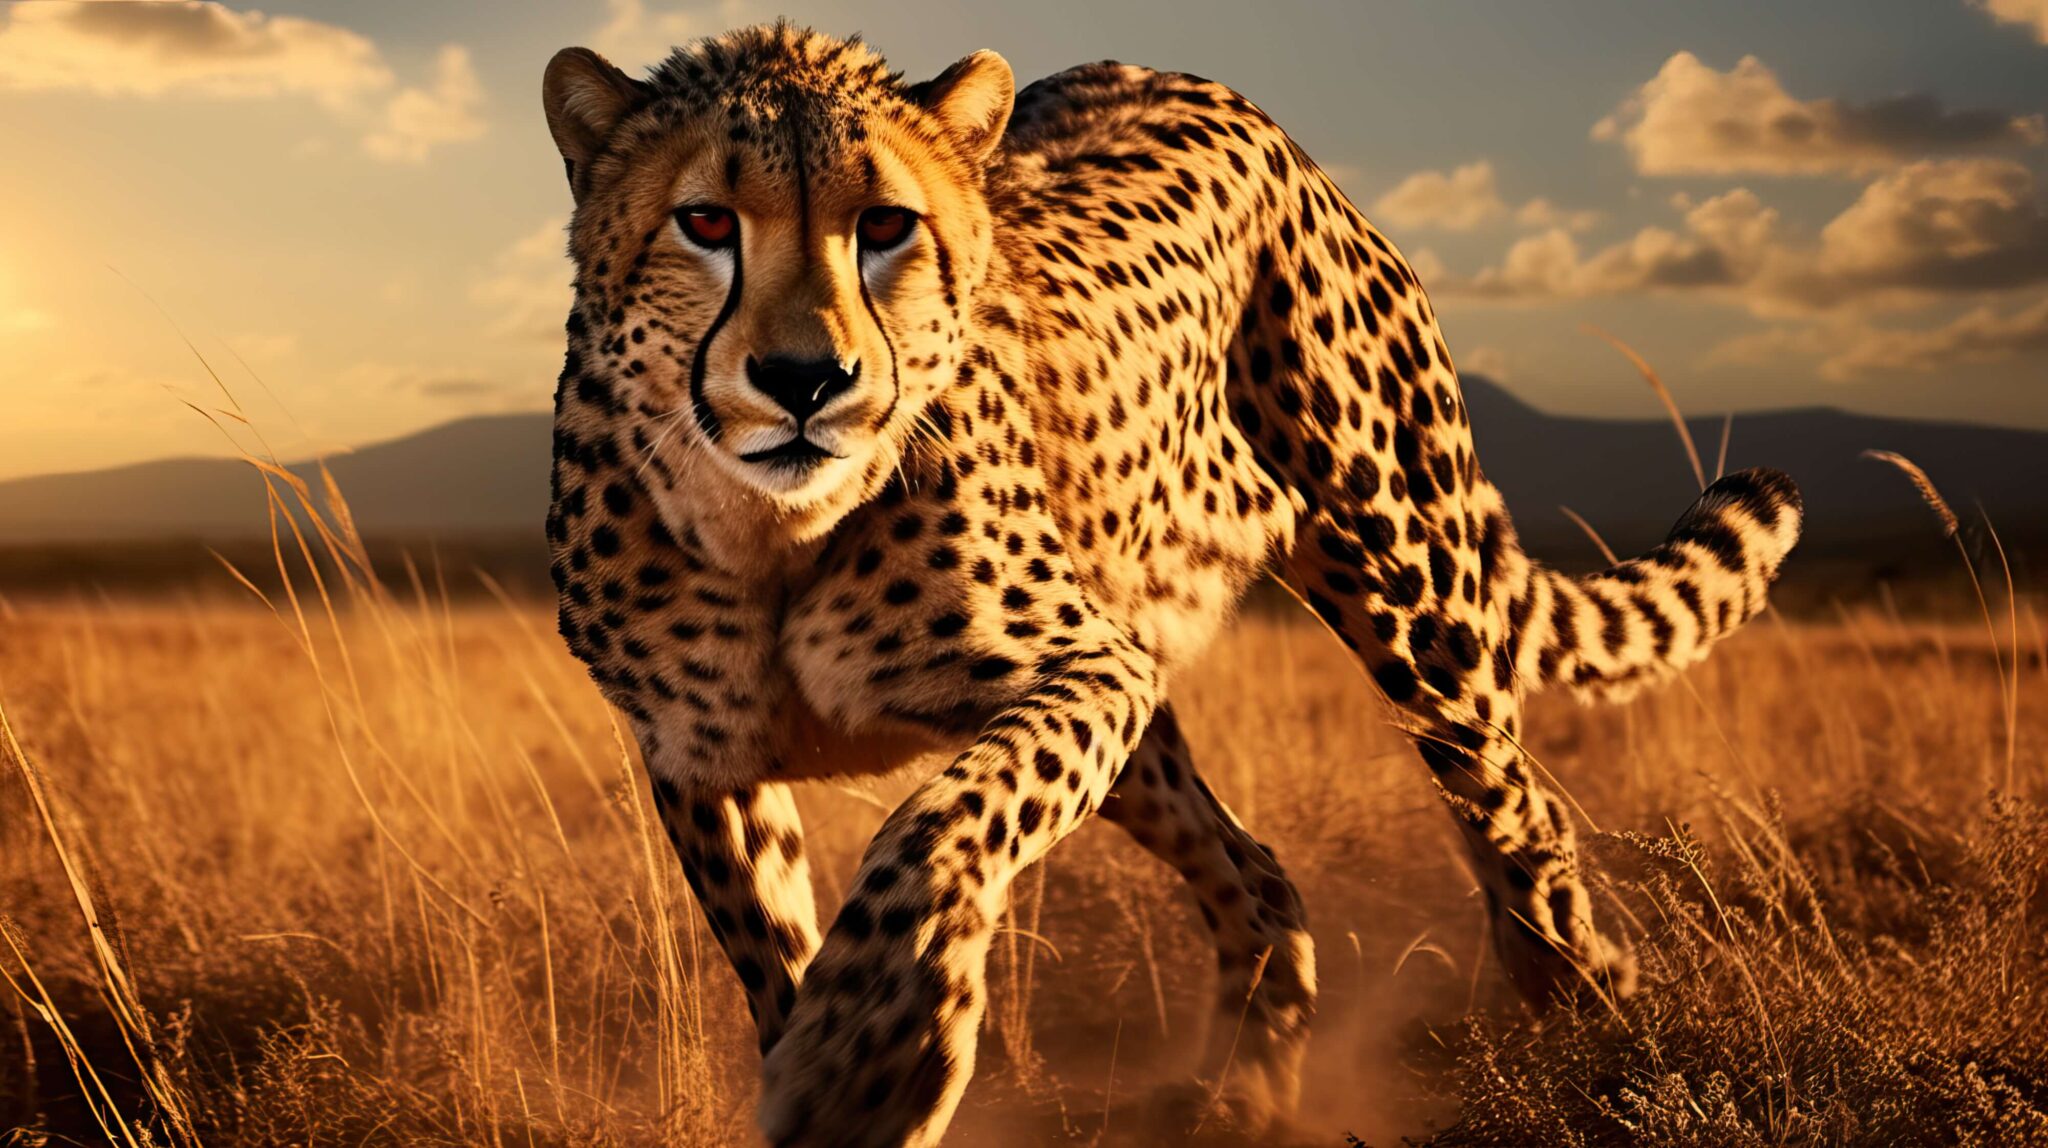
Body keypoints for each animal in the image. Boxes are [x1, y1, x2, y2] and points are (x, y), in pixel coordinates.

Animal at [538, 23, 1802, 1147]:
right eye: (706, 222)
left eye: (885, 226)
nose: (805, 379)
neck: (773, 532)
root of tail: (1206, 88)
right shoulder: (700, 757)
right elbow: (772, 946)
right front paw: (823, 1047)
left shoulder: (1082, 667)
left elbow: (940, 817)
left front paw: (868, 1061)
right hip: (1164, 699)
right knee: (1257, 870)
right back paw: (1244, 1087)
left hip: (1406, 583)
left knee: (1513, 808)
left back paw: (1584, 1013)